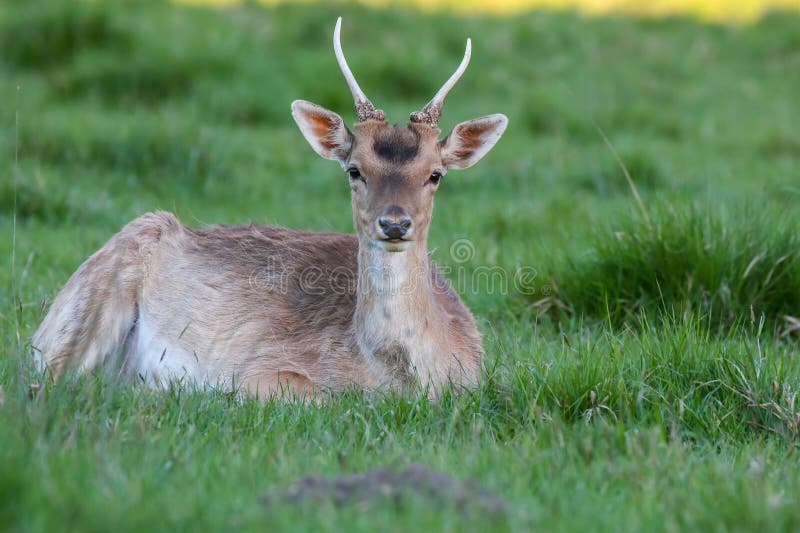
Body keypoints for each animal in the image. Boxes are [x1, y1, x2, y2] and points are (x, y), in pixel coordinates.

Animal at [31, 18, 508, 398]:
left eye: (435, 174)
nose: (394, 224)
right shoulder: (259, 369)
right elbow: (319, 397)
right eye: (354, 170)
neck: (400, 378)